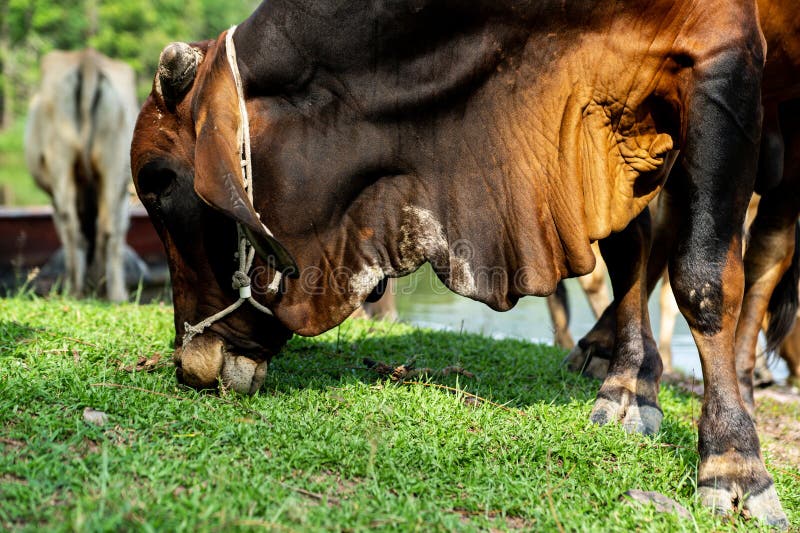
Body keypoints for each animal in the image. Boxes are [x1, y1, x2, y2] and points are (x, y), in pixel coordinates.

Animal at [25, 49, 139, 301]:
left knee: (73, 226)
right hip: (113, 158)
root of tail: (88, 59)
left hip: (61, 156)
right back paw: (108, 293)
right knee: (105, 228)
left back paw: (78, 290)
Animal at [130, 0, 786, 526]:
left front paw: (734, 465)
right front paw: (628, 389)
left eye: (157, 181)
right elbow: (629, 251)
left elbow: (702, 280)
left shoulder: (723, 57)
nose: (189, 364)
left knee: (765, 257)